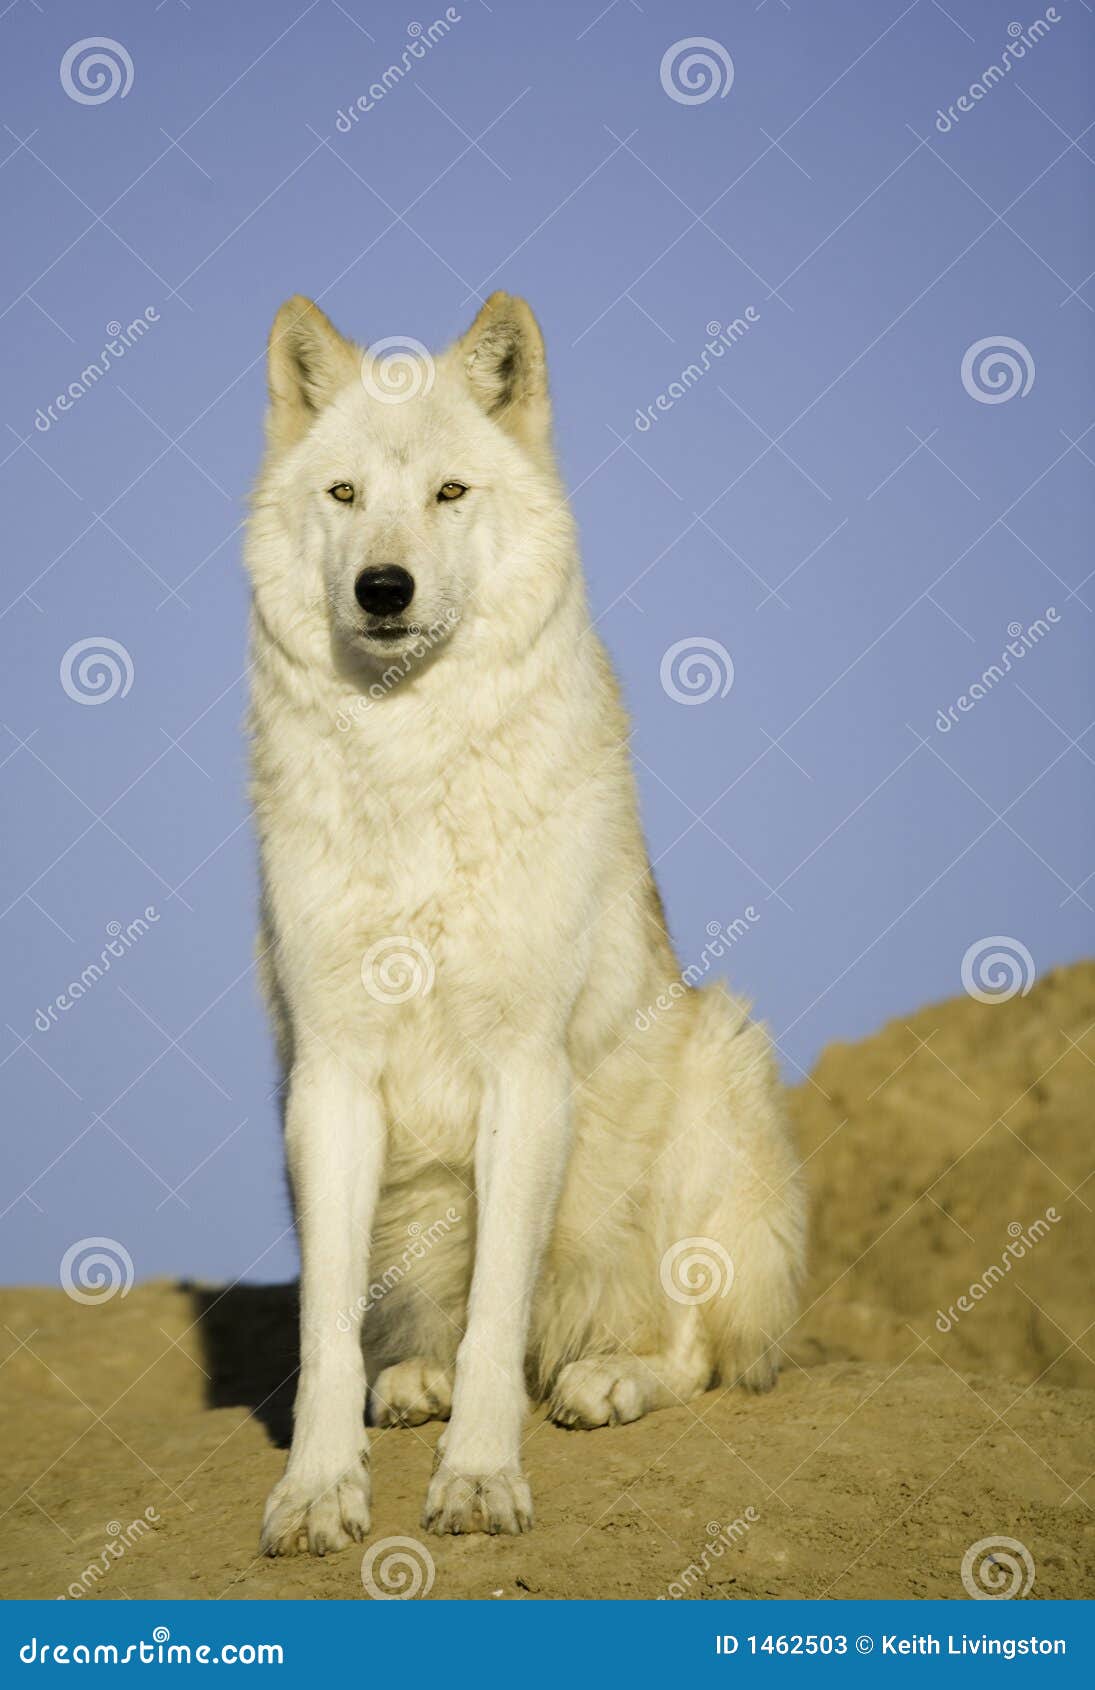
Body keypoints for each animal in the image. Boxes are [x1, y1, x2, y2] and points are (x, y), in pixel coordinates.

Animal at [246, 292, 805, 1554]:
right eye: (345, 494)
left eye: (450, 492)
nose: (384, 588)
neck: (409, 764)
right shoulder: (330, 1076)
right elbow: (323, 1329)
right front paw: (319, 1489)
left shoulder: (526, 1067)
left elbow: (500, 1316)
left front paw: (479, 1480)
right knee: (431, 1330)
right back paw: (415, 1383)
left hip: (716, 1068)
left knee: (688, 1346)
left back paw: (604, 1379)